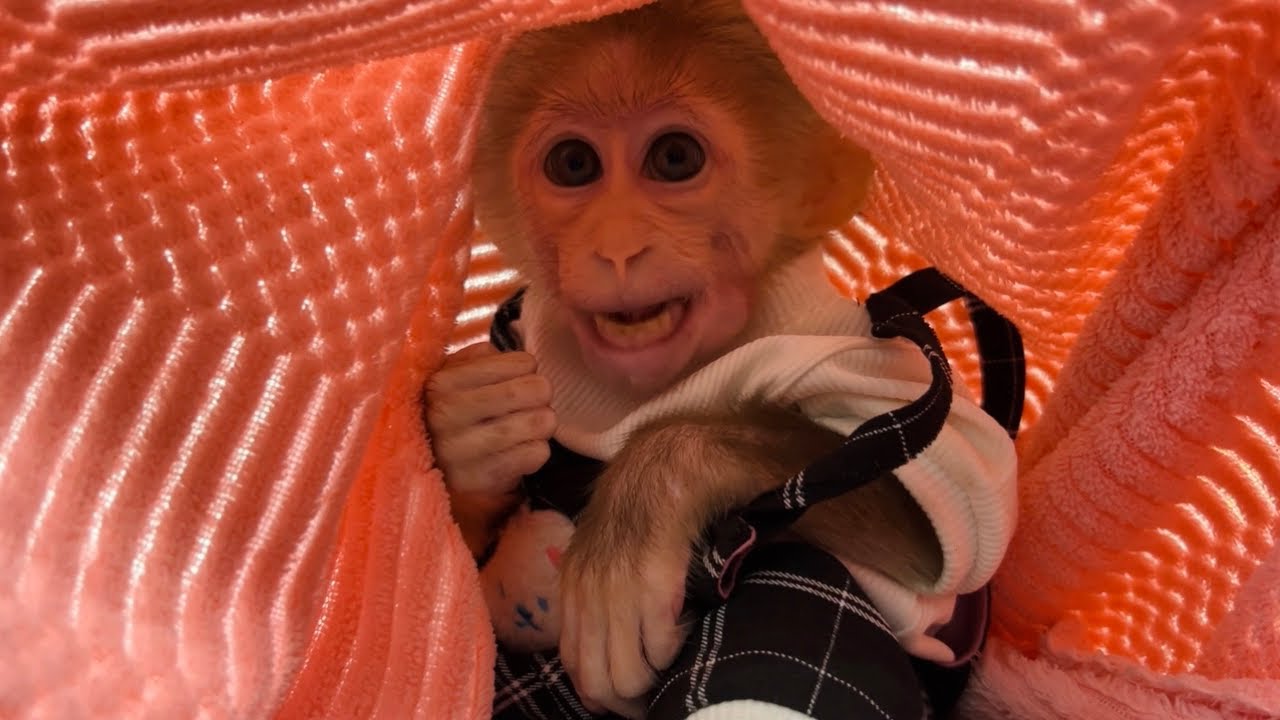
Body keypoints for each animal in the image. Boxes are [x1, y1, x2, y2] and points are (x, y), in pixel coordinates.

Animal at [424, 1, 1016, 717]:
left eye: (674, 157)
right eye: (573, 163)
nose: (616, 248)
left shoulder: (869, 361)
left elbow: (947, 532)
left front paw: (647, 495)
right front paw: (471, 428)